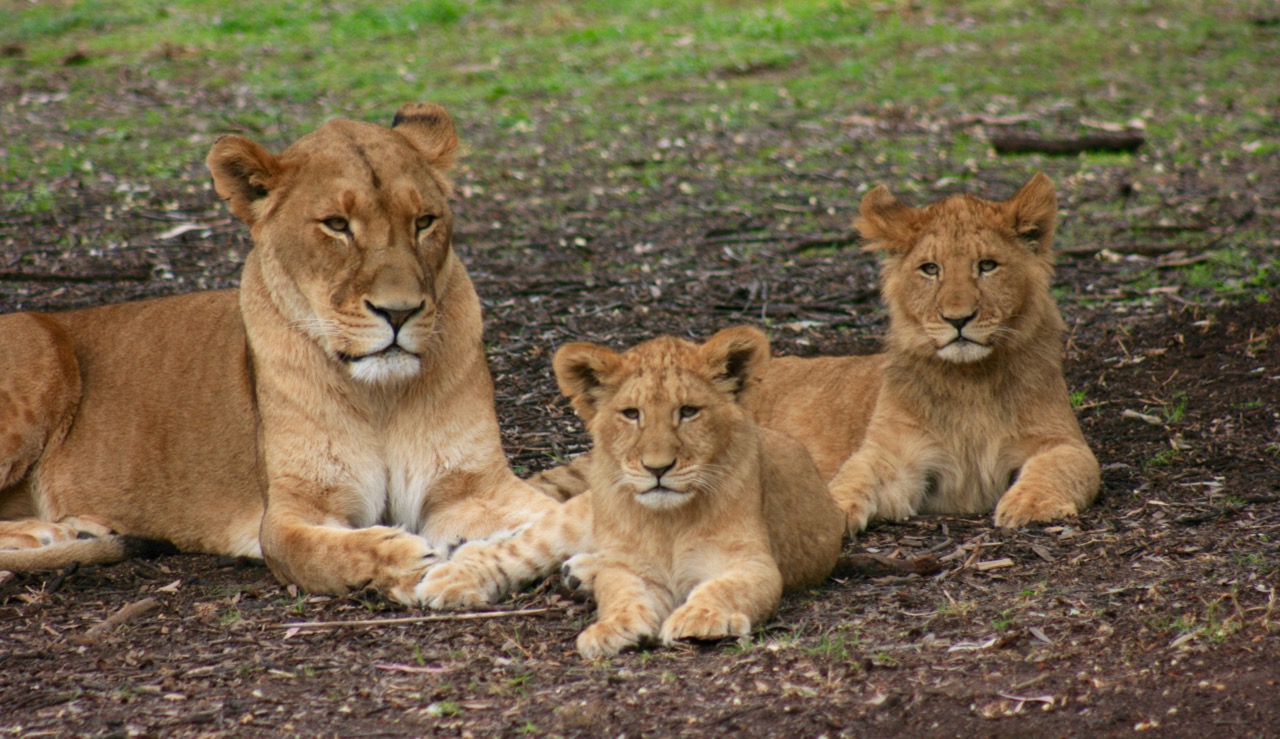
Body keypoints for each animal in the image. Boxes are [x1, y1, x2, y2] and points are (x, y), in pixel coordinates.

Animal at [0, 103, 559, 604]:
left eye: (424, 221)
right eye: (336, 224)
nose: (398, 313)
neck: (380, 397)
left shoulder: (474, 486)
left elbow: (556, 513)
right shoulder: (292, 510)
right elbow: (322, 551)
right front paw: (404, 560)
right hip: (38, 352)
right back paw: (51, 534)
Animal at [416, 327, 844, 658]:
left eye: (688, 411)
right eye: (631, 414)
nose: (658, 468)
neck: (669, 522)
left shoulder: (753, 562)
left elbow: (727, 587)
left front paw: (700, 618)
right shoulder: (632, 569)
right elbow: (620, 591)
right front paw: (614, 627)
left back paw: (579, 573)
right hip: (578, 517)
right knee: (521, 547)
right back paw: (452, 576)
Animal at [750, 173, 1100, 532]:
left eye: (987, 265)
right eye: (930, 269)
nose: (957, 319)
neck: (970, 381)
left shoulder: (1063, 441)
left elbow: (1060, 468)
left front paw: (1030, 504)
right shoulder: (893, 452)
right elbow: (854, 478)